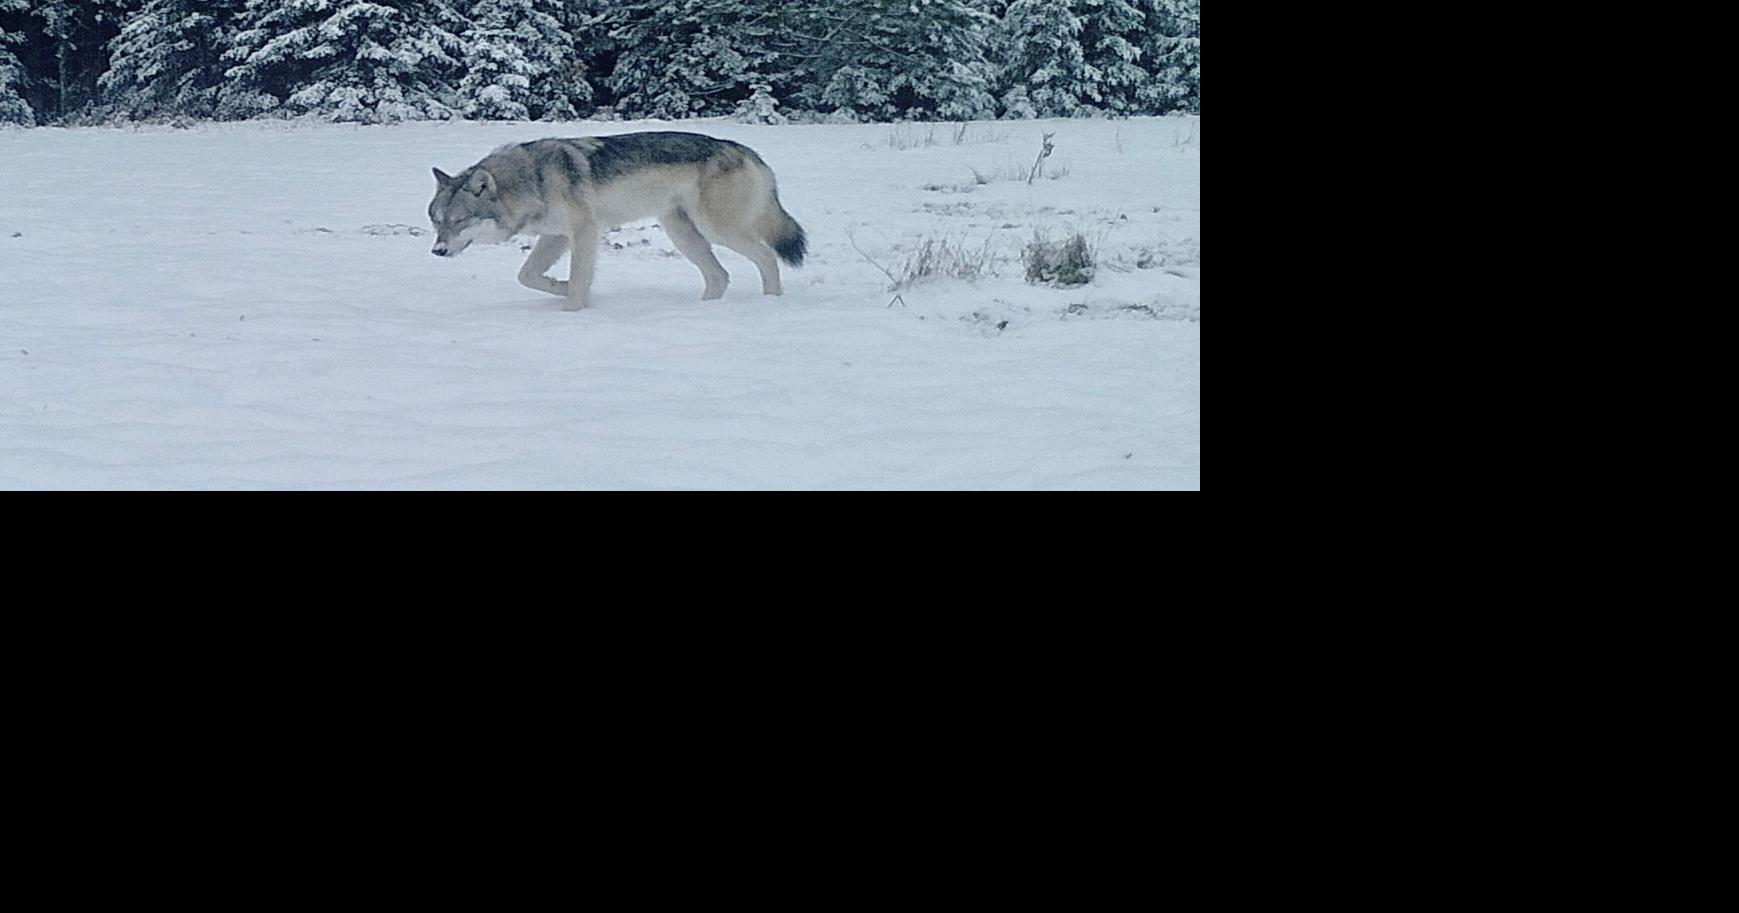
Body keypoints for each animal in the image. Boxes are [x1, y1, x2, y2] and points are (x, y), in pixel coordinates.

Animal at [428, 132, 807, 311]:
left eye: (459, 220)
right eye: (436, 221)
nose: (437, 251)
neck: (532, 180)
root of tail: (745, 150)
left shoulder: (583, 231)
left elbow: (577, 281)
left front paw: (573, 309)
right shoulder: (556, 236)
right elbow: (528, 276)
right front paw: (560, 286)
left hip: (719, 230)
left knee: (766, 257)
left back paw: (771, 302)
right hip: (683, 233)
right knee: (719, 275)